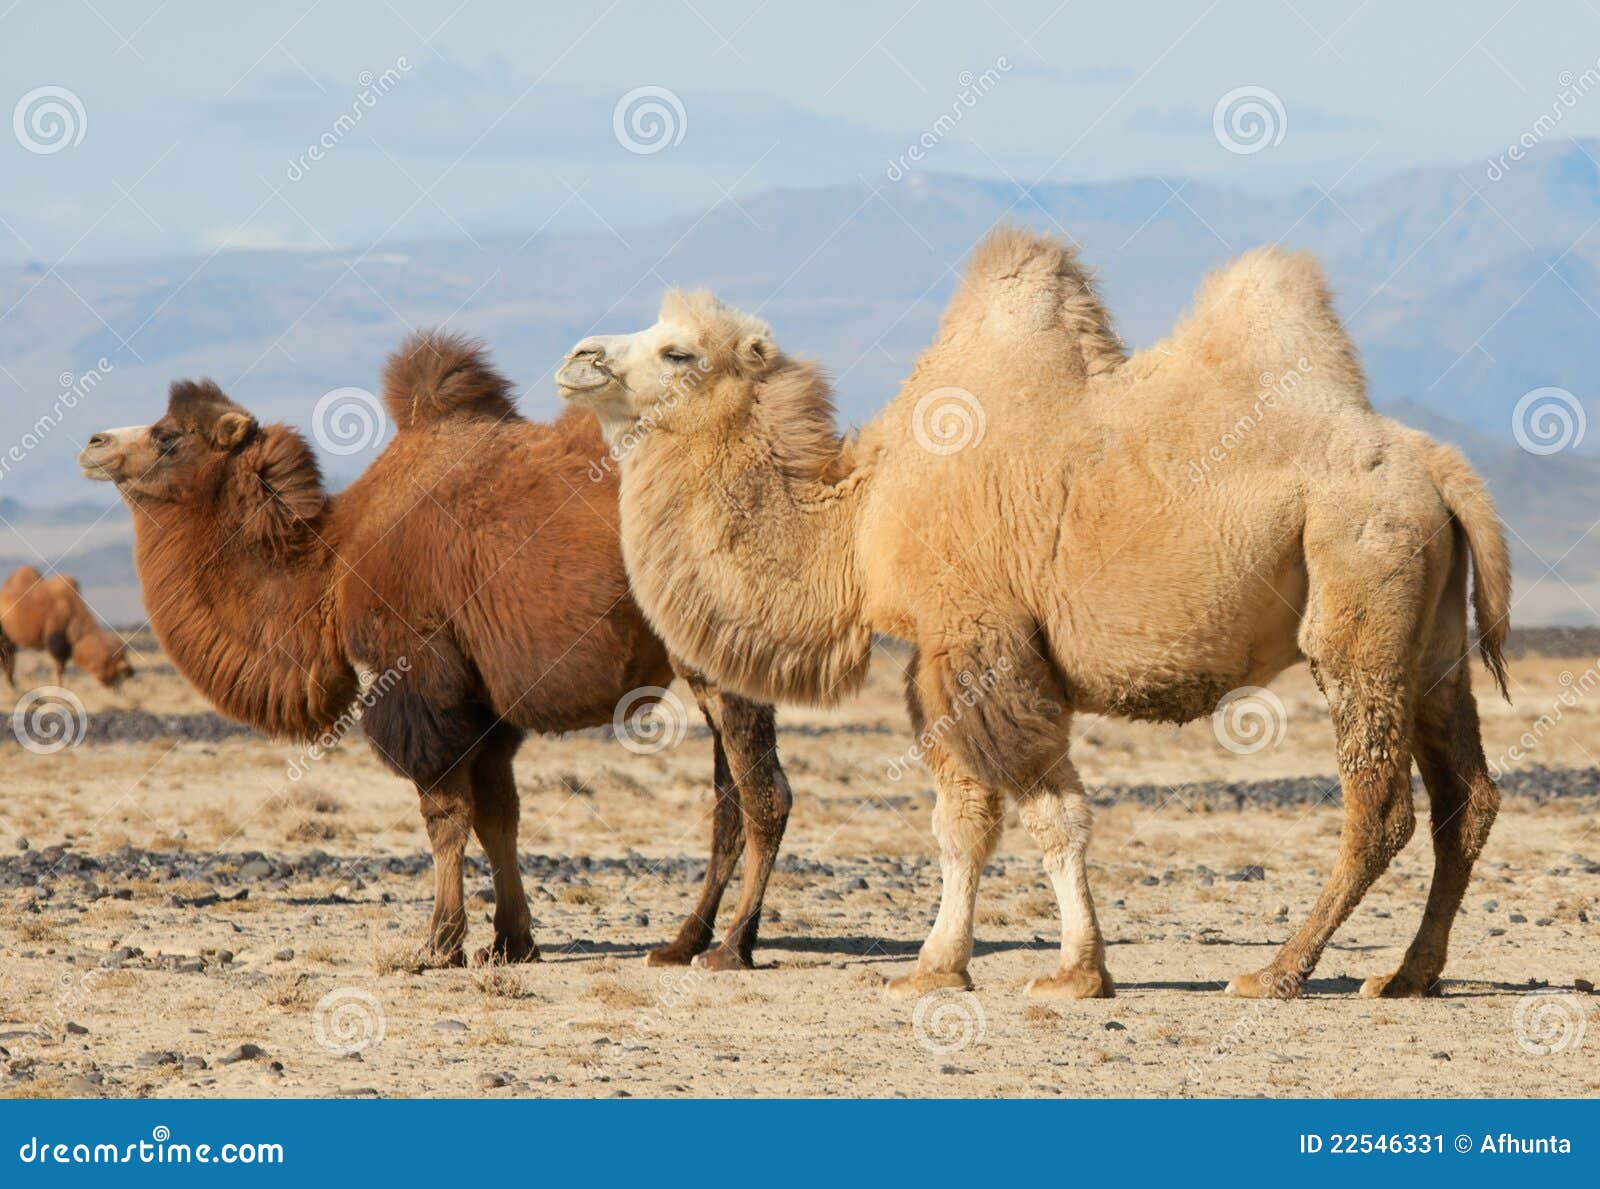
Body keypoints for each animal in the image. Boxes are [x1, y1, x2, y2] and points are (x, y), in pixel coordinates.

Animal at [77, 332, 793, 970]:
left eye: (168, 436)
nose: (93, 442)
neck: (329, 567)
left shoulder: (419, 674)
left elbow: (444, 813)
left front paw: (438, 944)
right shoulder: (484, 699)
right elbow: (499, 813)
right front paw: (510, 942)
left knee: (765, 795)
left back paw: (730, 949)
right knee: (731, 799)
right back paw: (682, 943)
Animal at [558, 227, 1512, 1001]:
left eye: (678, 352)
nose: (578, 357)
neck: (858, 525)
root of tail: (1437, 466)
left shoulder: (974, 640)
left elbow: (1004, 817)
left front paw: (994, 968)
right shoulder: (976, 657)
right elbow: (1013, 818)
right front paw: (1018, 969)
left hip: (1360, 593)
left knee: (1379, 804)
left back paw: (1277, 972)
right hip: (1430, 637)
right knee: (1468, 796)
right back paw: (1408, 973)